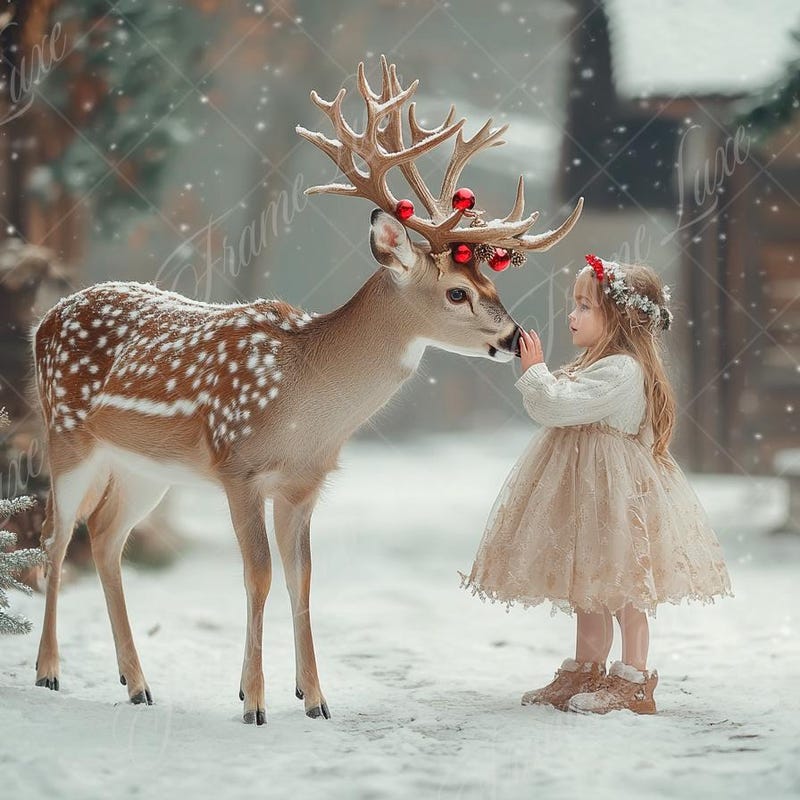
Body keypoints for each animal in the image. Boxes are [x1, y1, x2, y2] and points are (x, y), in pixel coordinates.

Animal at [30, 55, 583, 725]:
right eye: (457, 291)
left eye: (489, 279)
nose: (513, 337)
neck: (304, 398)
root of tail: (46, 318)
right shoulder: (238, 466)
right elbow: (259, 576)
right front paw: (253, 701)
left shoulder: (305, 482)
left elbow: (304, 578)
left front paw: (314, 698)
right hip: (67, 436)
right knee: (56, 535)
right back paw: (49, 672)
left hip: (144, 468)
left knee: (107, 536)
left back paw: (137, 683)